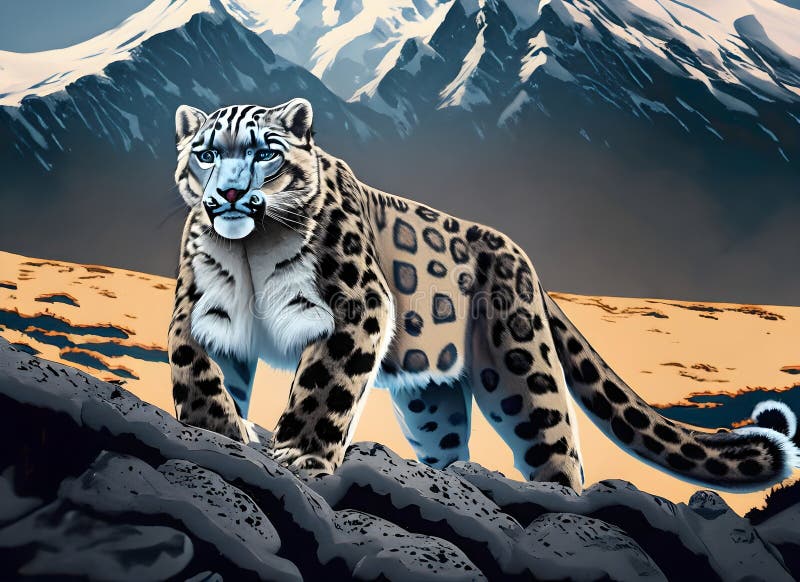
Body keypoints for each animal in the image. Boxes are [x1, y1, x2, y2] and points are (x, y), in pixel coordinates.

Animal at [169, 97, 799, 492]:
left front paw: (298, 453)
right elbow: (195, 366)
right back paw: (447, 476)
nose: (230, 192)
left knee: (556, 446)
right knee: (448, 436)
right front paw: (218, 430)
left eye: (266, 151)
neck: (251, 251)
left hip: (521, 370)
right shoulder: (200, 310)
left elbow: (323, 388)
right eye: (206, 153)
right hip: (429, 397)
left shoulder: (355, 306)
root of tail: (523, 259)